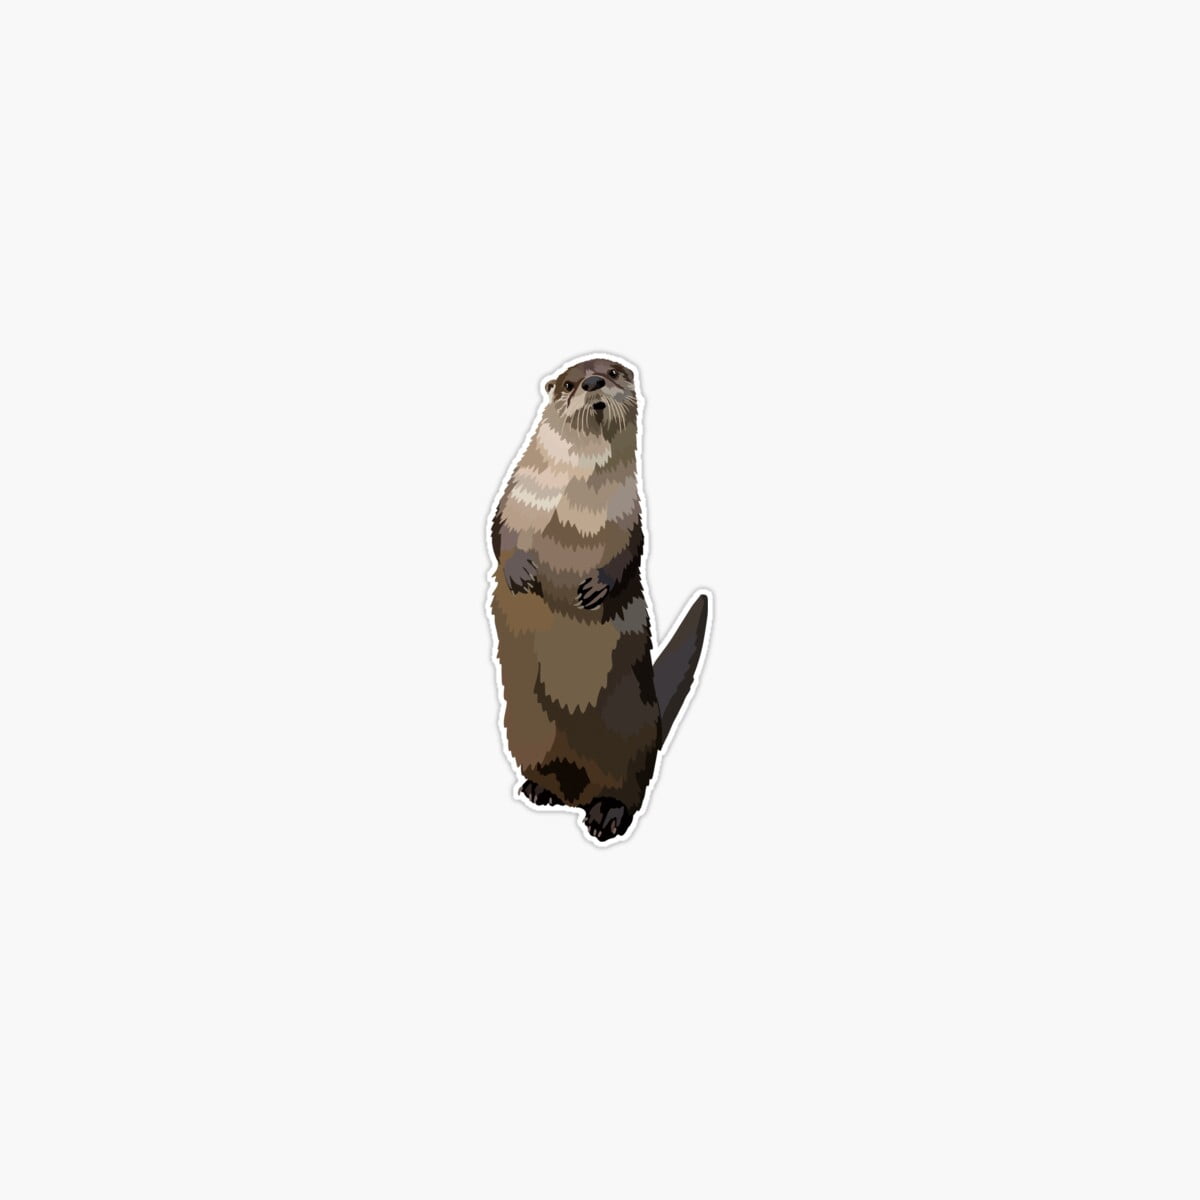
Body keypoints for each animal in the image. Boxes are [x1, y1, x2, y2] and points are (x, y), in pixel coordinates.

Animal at [488, 354, 710, 842]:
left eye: (612, 372)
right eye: (569, 384)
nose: (591, 383)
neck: (572, 506)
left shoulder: (631, 517)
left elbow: (630, 557)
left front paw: (597, 587)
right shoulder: (515, 498)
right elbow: (497, 537)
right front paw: (519, 572)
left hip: (628, 739)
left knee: (626, 786)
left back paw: (607, 813)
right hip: (526, 730)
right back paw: (540, 789)